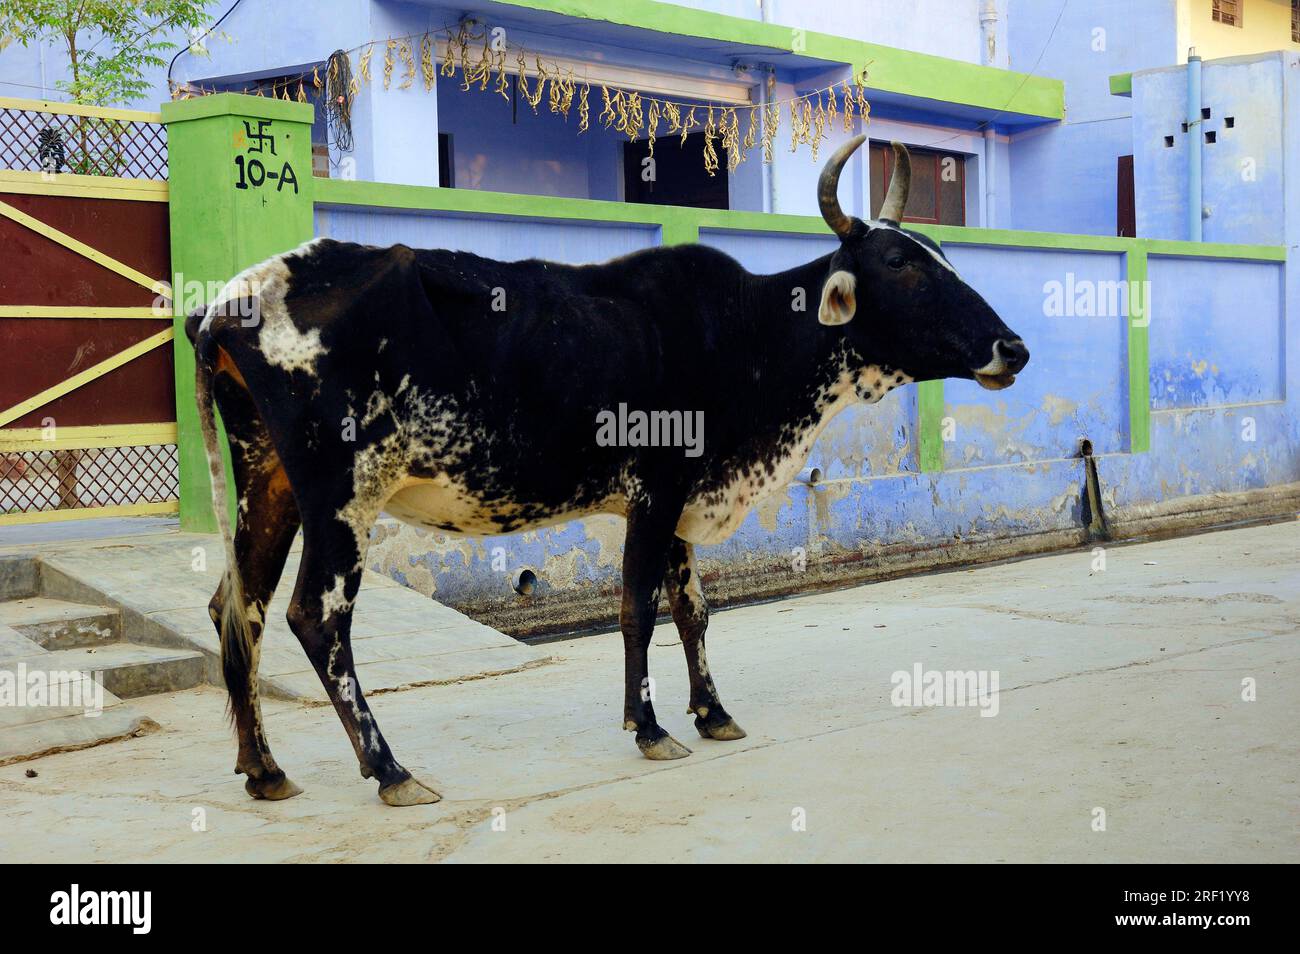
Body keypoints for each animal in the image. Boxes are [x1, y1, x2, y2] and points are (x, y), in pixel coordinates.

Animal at [187, 137, 1028, 806]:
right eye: (899, 263)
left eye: (942, 256)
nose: (1011, 347)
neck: (745, 331)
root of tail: (229, 301)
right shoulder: (654, 494)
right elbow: (637, 610)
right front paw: (650, 727)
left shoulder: (683, 495)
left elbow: (692, 610)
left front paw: (713, 713)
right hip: (343, 496)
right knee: (315, 617)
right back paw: (390, 769)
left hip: (269, 483)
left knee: (238, 608)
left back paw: (264, 769)